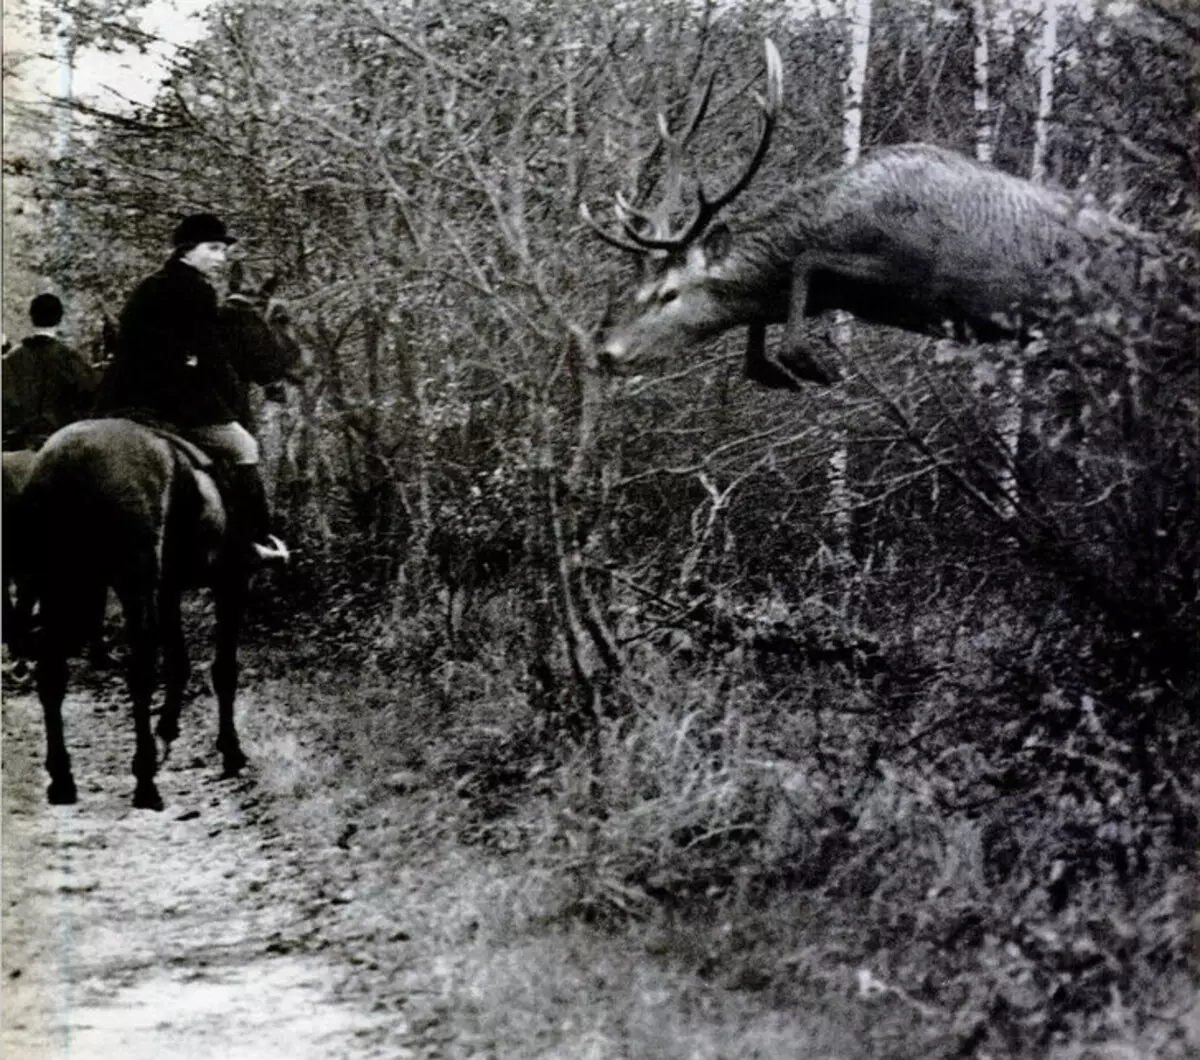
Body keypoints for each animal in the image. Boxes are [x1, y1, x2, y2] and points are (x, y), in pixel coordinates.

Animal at [14, 268, 304, 806]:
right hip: (130, 582)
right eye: (274, 317)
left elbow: (180, 662)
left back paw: (62, 777)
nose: (297, 367)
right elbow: (220, 669)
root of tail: (70, 461)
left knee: (52, 668)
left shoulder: (168, 587)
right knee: (139, 667)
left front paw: (169, 730)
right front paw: (230, 752)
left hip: (67, 580)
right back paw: (144, 778)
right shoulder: (231, 581)